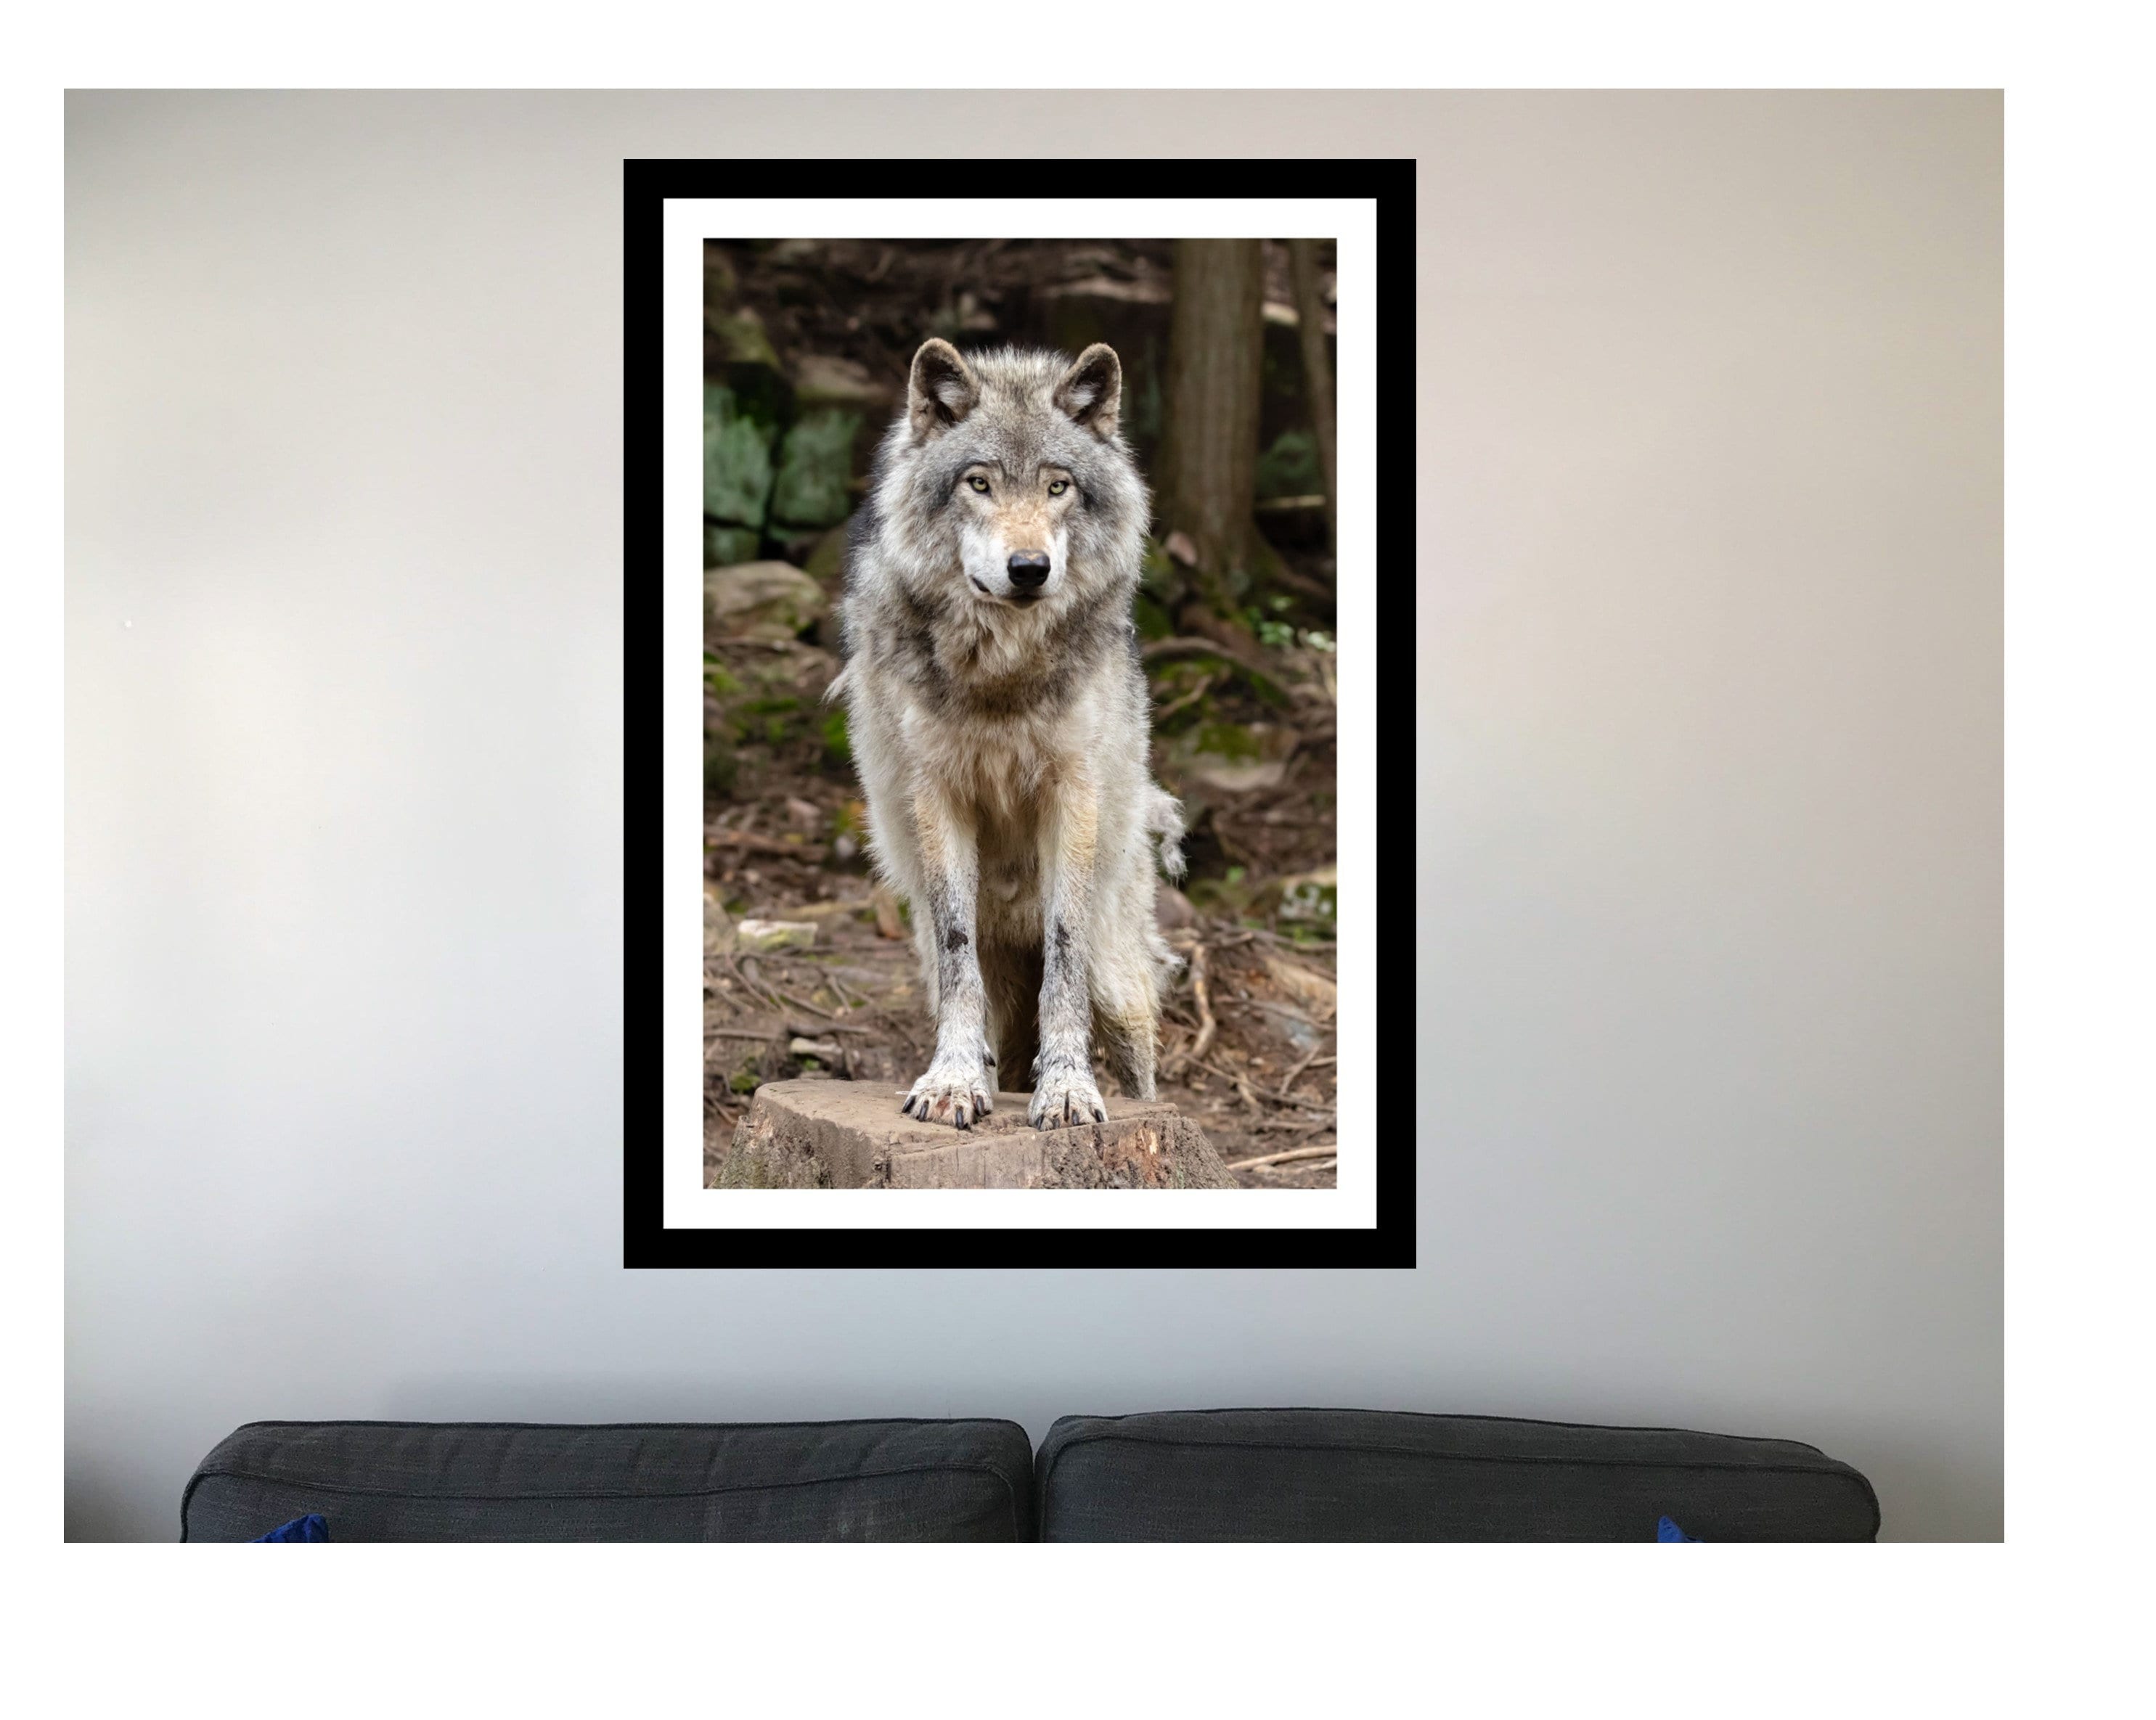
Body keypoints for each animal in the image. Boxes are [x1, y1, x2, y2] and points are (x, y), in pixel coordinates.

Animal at [832, 337, 1186, 1131]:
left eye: (1058, 487)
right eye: (979, 483)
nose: (1029, 569)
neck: (1001, 672)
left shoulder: (1071, 797)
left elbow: (1065, 957)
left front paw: (1069, 1090)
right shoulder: (938, 798)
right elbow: (959, 953)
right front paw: (954, 1083)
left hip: (1119, 979)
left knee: (1138, 1055)